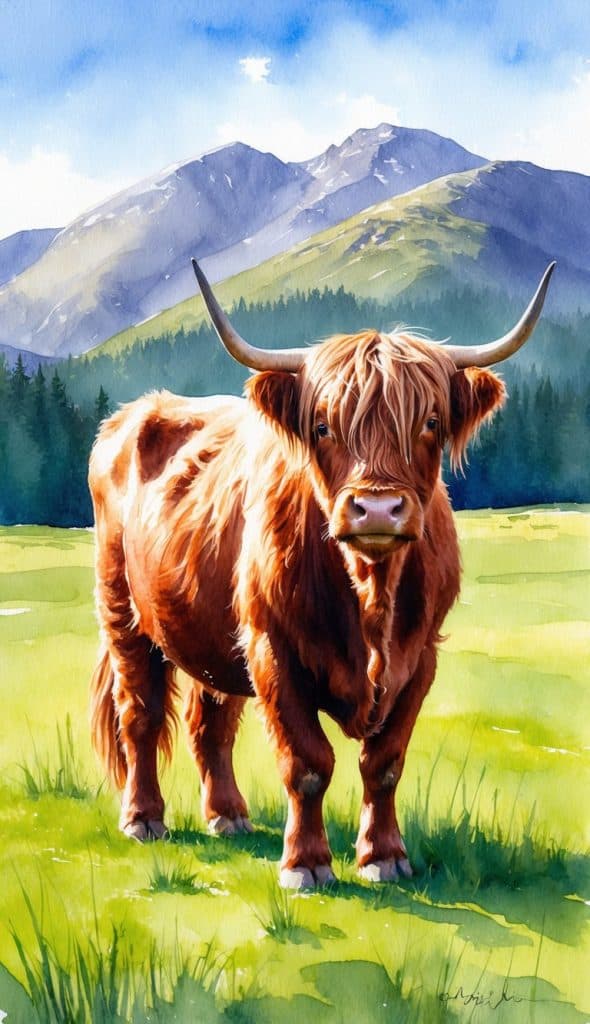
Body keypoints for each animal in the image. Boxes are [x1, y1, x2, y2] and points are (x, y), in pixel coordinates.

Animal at [89, 258, 554, 888]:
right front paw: (306, 864)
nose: (377, 509)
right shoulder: (273, 648)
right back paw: (143, 819)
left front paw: (384, 857)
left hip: (215, 632)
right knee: (139, 712)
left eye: (430, 421)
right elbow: (307, 762)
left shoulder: (420, 656)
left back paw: (229, 816)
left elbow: (383, 763)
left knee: (209, 722)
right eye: (323, 426)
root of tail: (131, 416)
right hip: (122, 611)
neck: (370, 596)